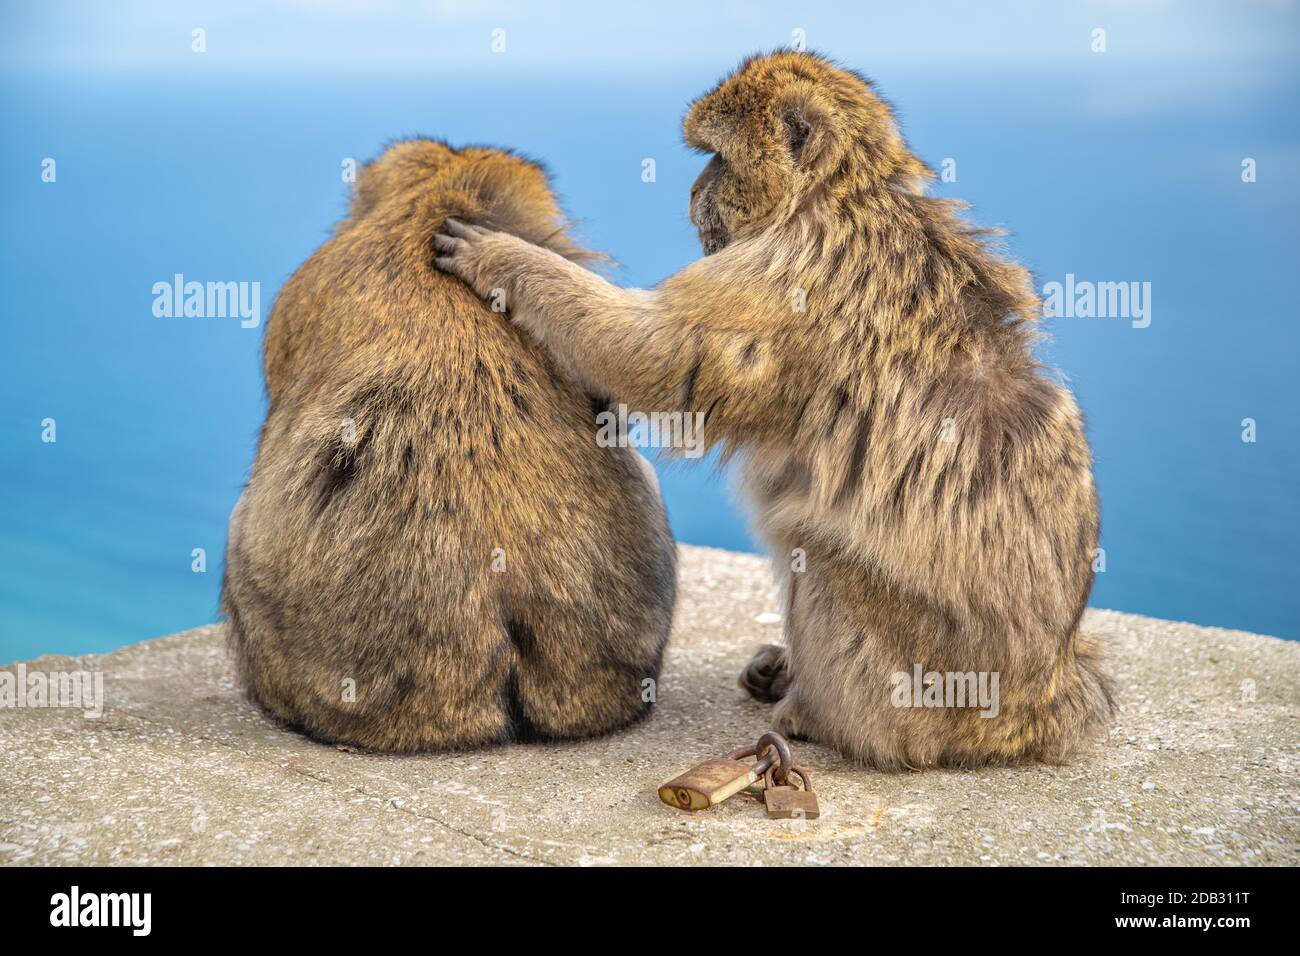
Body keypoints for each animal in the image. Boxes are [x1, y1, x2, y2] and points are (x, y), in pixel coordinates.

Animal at [432, 51, 1114, 769]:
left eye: (717, 158)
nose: (692, 189)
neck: (841, 196)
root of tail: (1041, 701)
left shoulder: (784, 274)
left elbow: (658, 358)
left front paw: (503, 258)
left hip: (925, 687)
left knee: (820, 561)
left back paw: (816, 714)